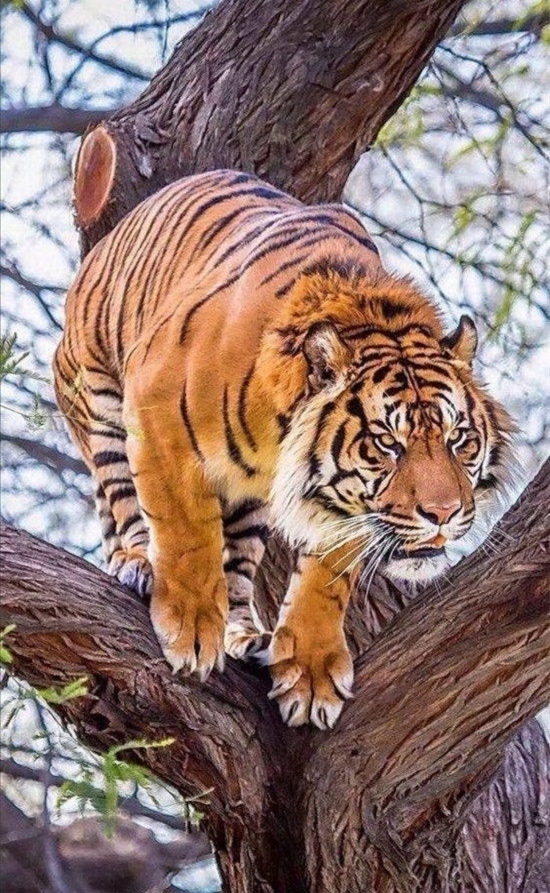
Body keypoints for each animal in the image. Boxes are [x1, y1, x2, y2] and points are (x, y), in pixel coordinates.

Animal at [53, 169, 514, 729]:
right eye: (387, 442)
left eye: (458, 440)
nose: (443, 514)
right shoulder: (155, 410)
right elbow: (185, 531)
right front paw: (190, 627)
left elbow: (327, 577)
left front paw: (311, 673)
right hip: (97, 397)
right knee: (122, 502)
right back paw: (140, 564)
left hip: (249, 502)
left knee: (236, 568)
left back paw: (245, 634)